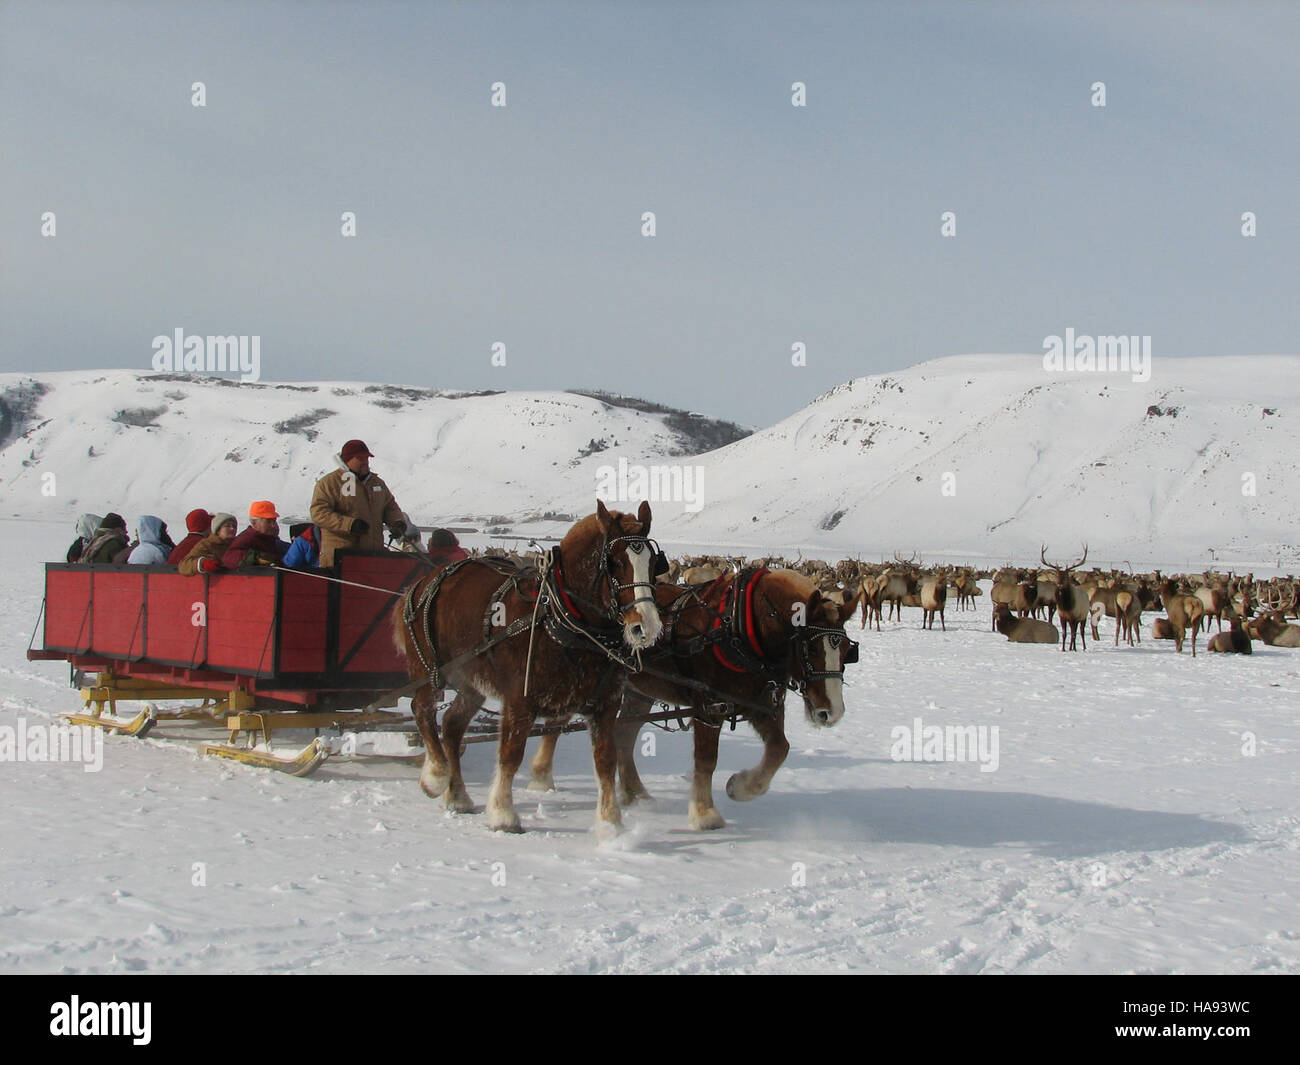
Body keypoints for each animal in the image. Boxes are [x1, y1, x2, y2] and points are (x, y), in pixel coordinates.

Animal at [393, 501, 664, 836]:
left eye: (653, 563)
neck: (564, 619)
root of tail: (423, 582)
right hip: (428, 671)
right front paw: (503, 813)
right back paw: (436, 775)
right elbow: (511, 754)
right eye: (614, 562)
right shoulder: (519, 701)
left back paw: (457, 795)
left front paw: (610, 822)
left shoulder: (605, 704)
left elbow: (605, 759)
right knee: (422, 710)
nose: (646, 626)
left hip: (470, 681)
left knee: (453, 725)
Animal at [527, 569, 857, 830]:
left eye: (846, 651)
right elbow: (706, 759)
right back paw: (541, 777)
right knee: (558, 722)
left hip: (638, 691)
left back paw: (635, 792)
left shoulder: (761, 705)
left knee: (624, 733)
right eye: (810, 648)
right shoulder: (709, 706)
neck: (742, 625)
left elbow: (780, 749)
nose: (831, 712)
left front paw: (741, 787)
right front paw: (704, 813)